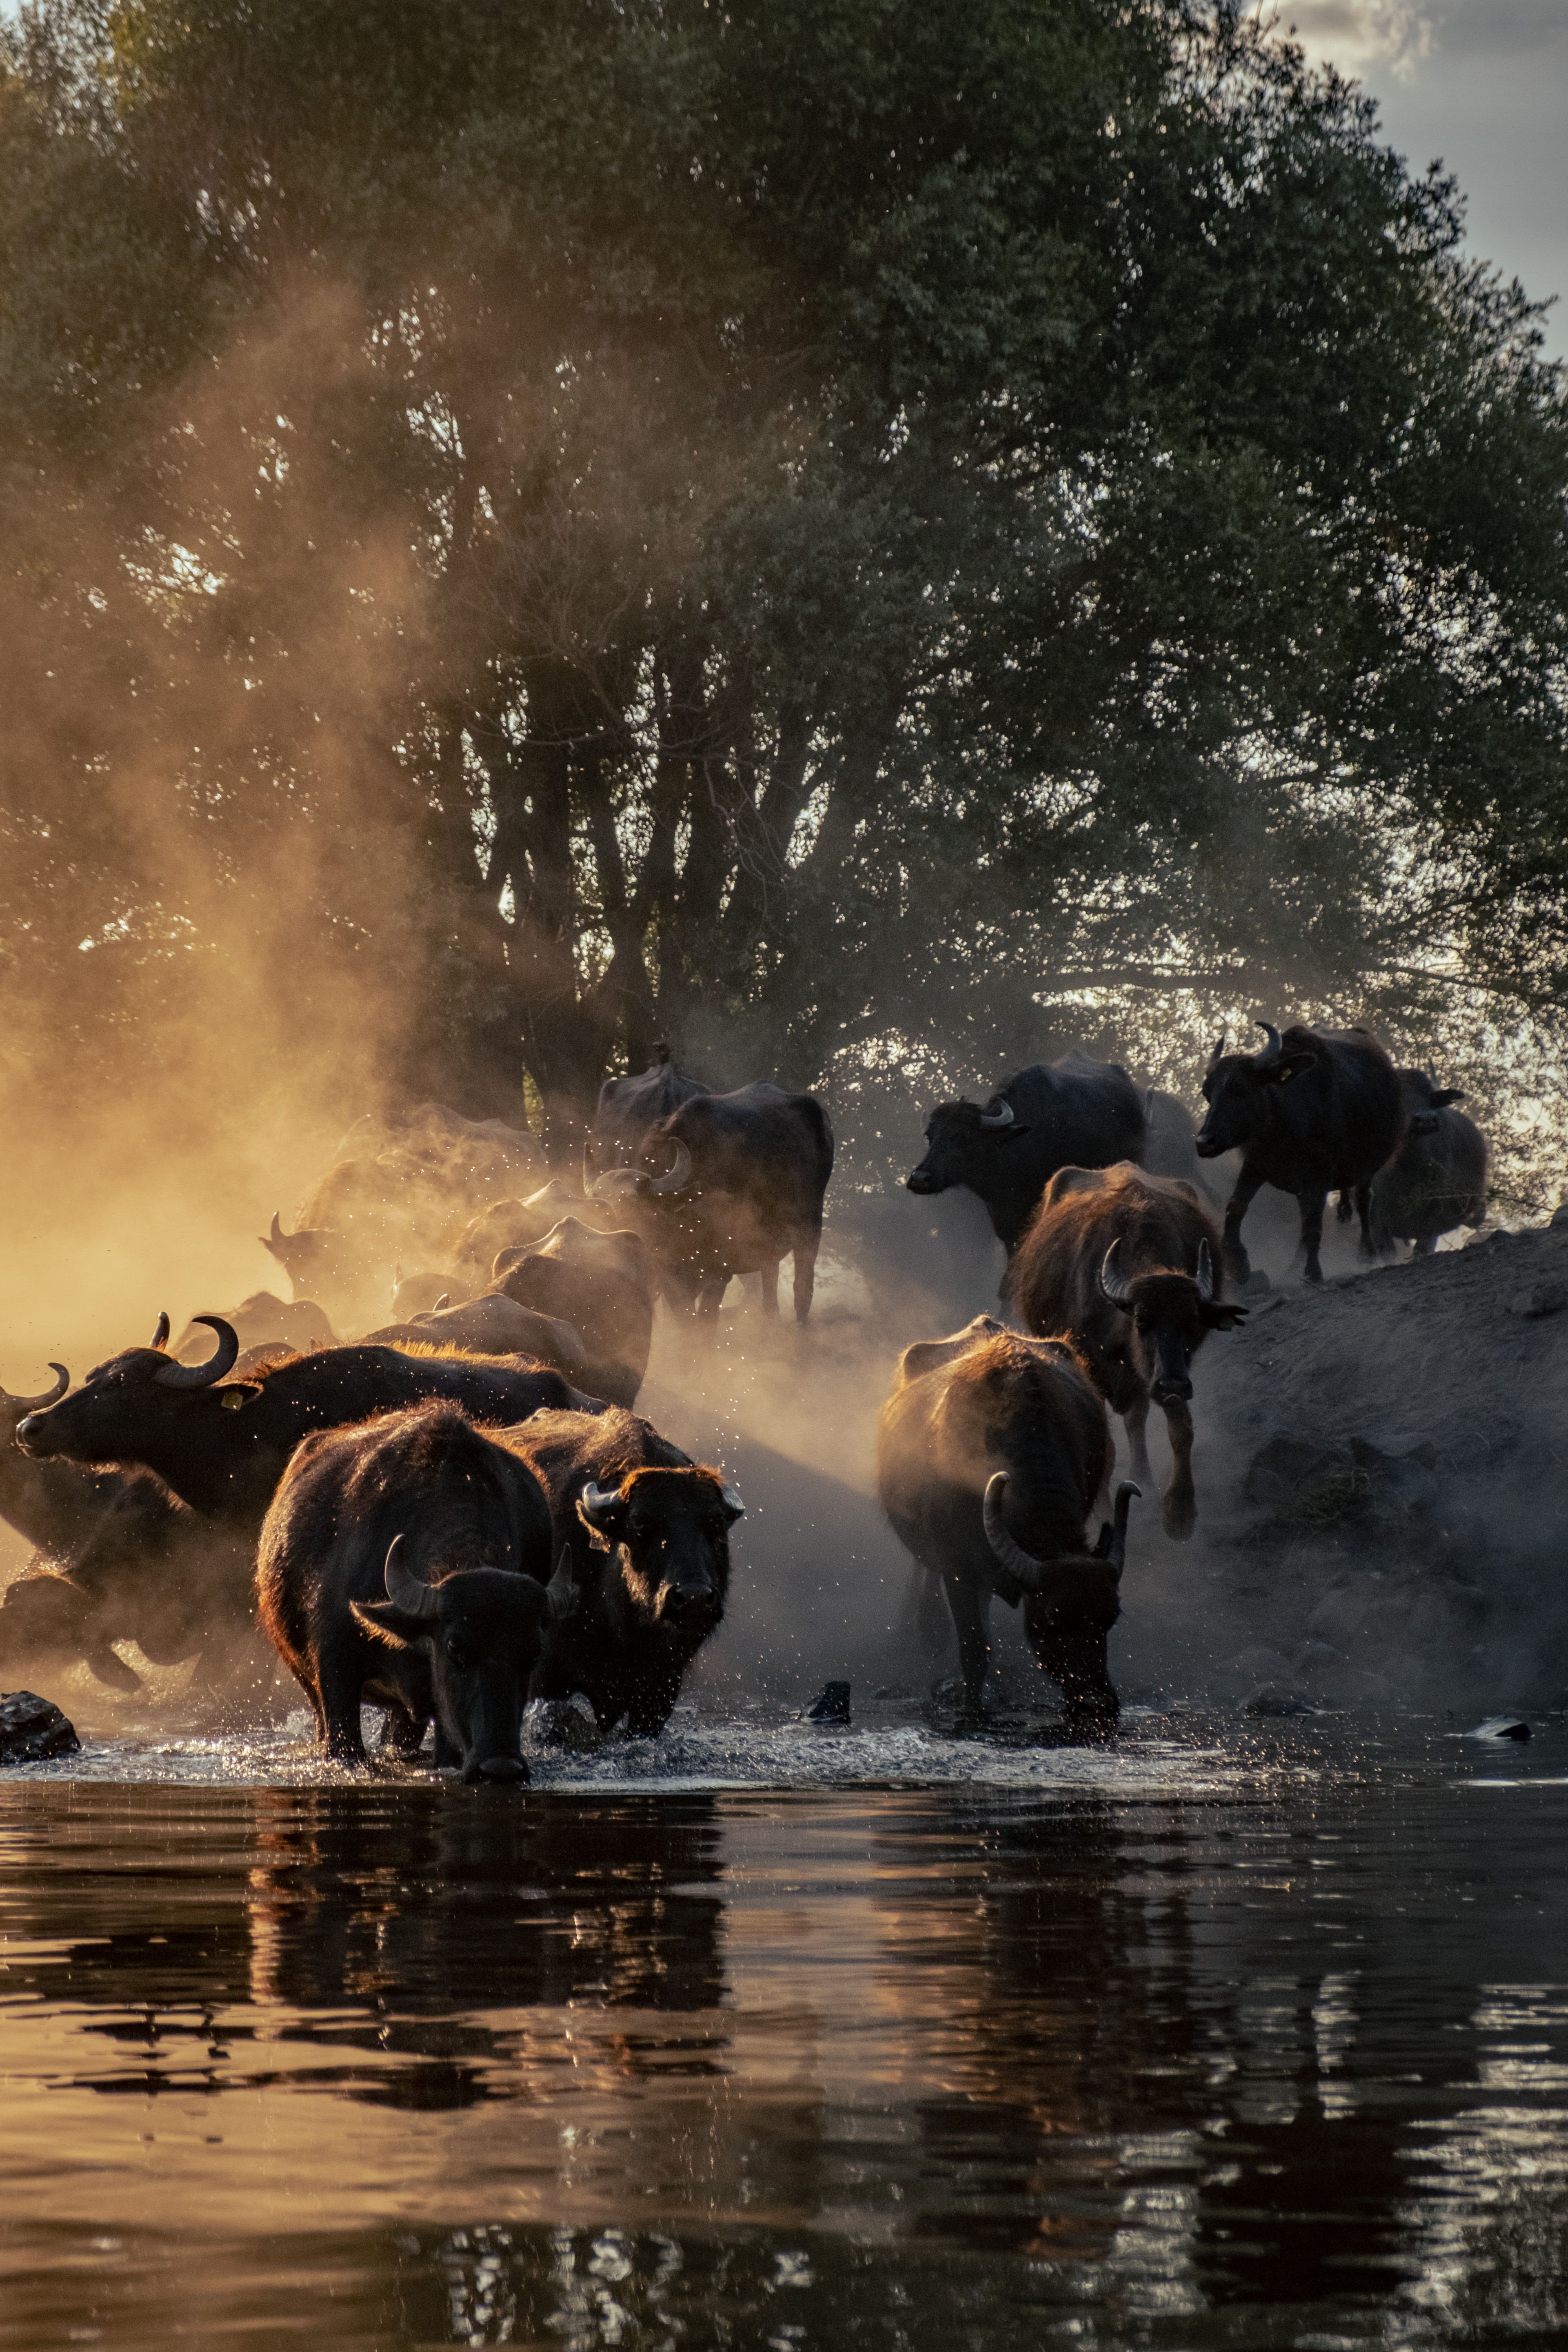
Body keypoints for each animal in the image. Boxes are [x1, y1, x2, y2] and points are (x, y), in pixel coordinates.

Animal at [590, 1082, 833, 1321]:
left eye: (630, 1205)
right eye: (594, 1206)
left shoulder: (719, 1273)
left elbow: (707, 1321)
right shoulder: (671, 1279)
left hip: (810, 1231)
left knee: (803, 1291)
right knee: (770, 1292)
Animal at [877, 1314, 1138, 1725]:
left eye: (1110, 1616)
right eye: (1049, 1620)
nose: (1098, 1703)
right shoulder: (958, 1569)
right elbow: (973, 1649)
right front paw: (972, 1710)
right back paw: (929, 1628)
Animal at [1007, 1164, 1245, 1539]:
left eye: (1191, 1320)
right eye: (1141, 1318)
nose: (1173, 1385)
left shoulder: (1166, 1373)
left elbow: (1181, 1429)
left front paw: (1180, 1512)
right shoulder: (1094, 1365)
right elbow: (1104, 1445)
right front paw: (1102, 1513)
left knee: (1137, 1418)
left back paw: (1144, 1477)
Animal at [1194, 1021, 1406, 1284]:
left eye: (1239, 1088)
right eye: (1208, 1094)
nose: (1204, 1143)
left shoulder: (1320, 1177)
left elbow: (1314, 1225)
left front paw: (1314, 1272)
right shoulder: (1256, 1165)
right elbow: (1236, 1206)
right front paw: (1237, 1263)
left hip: (1367, 1168)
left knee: (1363, 1202)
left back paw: (1367, 1255)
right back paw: (1293, 1269)